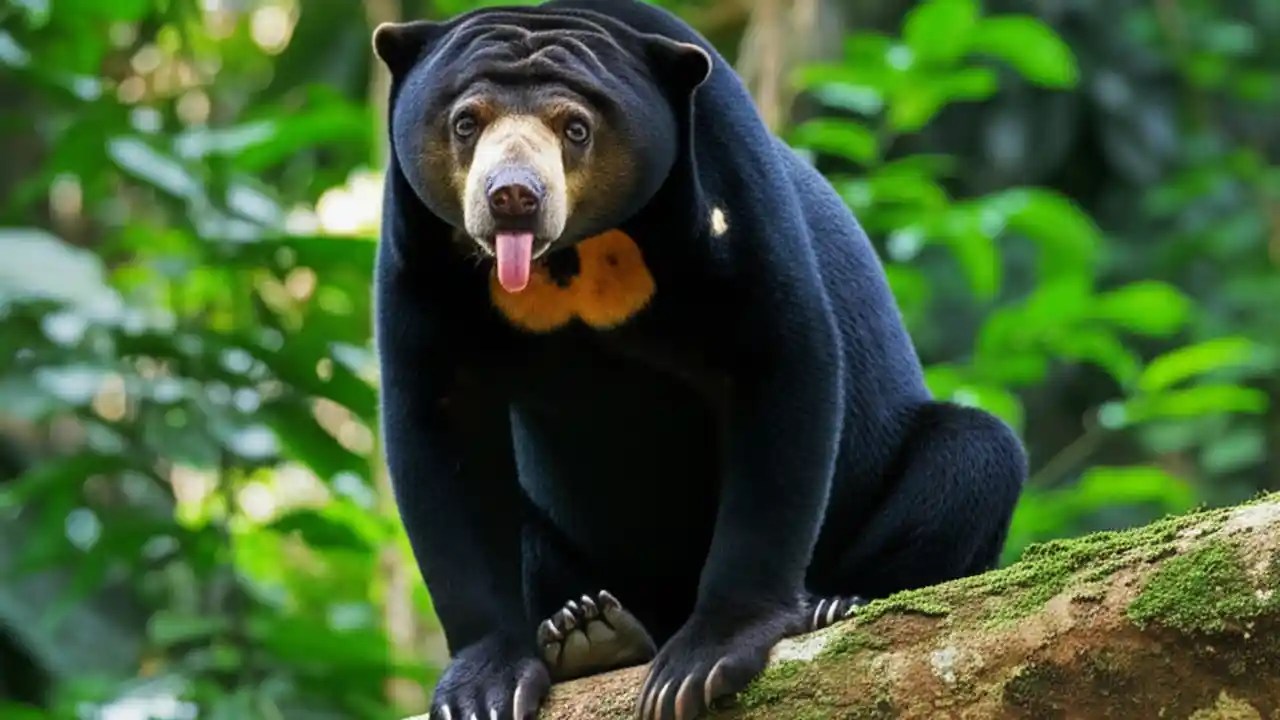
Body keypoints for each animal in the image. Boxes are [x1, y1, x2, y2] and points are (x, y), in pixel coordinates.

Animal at [370, 2, 1027, 719]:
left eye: (576, 128)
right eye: (467, 122)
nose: (513, 196)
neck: (574, 257)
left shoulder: (727, 181)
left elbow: (779, 366)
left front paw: (703, 664)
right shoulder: (416, 246)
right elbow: (439, 427)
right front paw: (483, 689)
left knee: (974, 455)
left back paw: (832, 603)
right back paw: (589, 631)